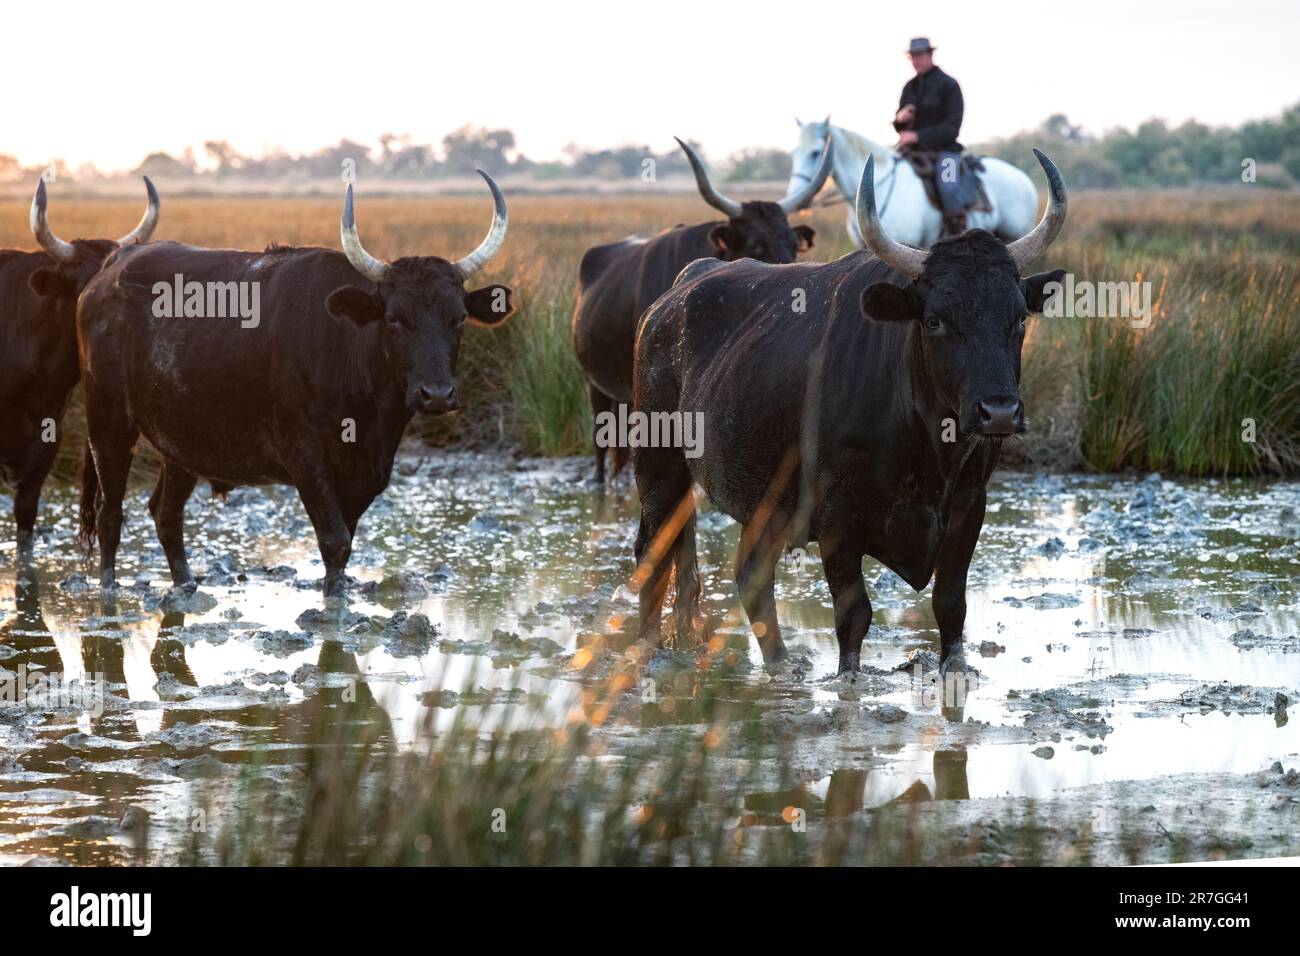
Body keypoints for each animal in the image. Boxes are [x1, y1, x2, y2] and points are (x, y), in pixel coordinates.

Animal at [76, 170, 514, 598]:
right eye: (393, 318)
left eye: (459, 318)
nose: (436, 394)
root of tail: (111, 267)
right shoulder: (303, 453)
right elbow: (334, 540)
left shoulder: (363, 474)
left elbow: (345, 541)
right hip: (107, 420)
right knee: (111, 511)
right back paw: (109, 589)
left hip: (179, 440)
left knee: (165, 512)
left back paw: (186, 585)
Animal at [632, 149, 1067, 678]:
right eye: (936, 320)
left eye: (1019, 318)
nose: (999, 411)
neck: (926, 447)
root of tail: (679, 289)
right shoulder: (837, 517)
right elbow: (854, 615)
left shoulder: (970, 505)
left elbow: (950, 606)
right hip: (659, 466)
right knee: (653, 553)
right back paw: (649, 651)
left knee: (749, 571)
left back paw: (781, 663)